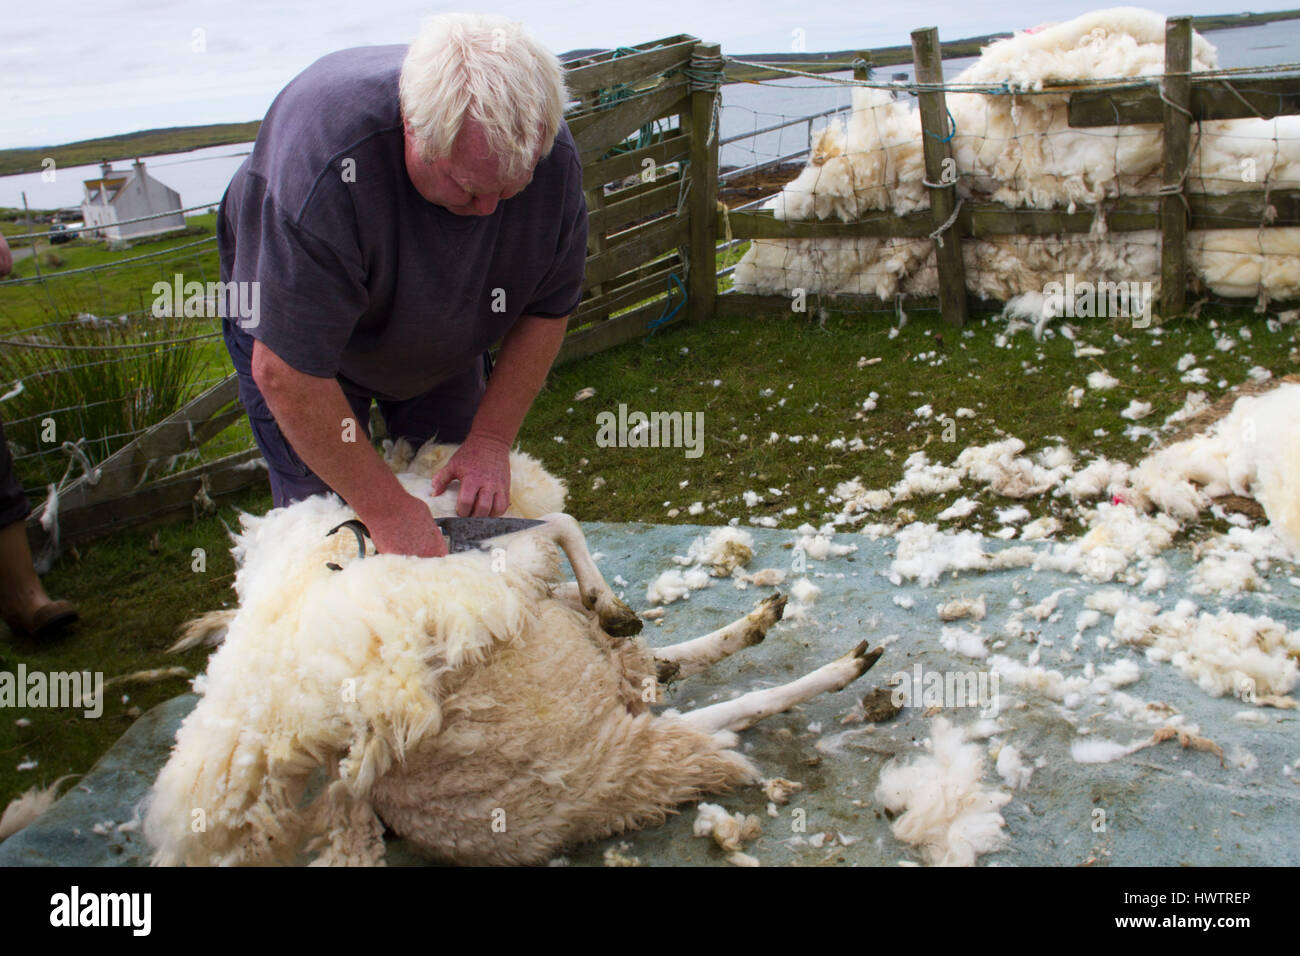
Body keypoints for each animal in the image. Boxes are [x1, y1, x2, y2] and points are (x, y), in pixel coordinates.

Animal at [143, 440, 883, 866]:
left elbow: (562, 528)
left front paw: (611, 603)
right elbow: (562, 522)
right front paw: (608, 599)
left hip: (602, 726)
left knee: (657, 668)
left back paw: (755, 624)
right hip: (609, 761)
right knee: (721, 707)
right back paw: (840, 666)